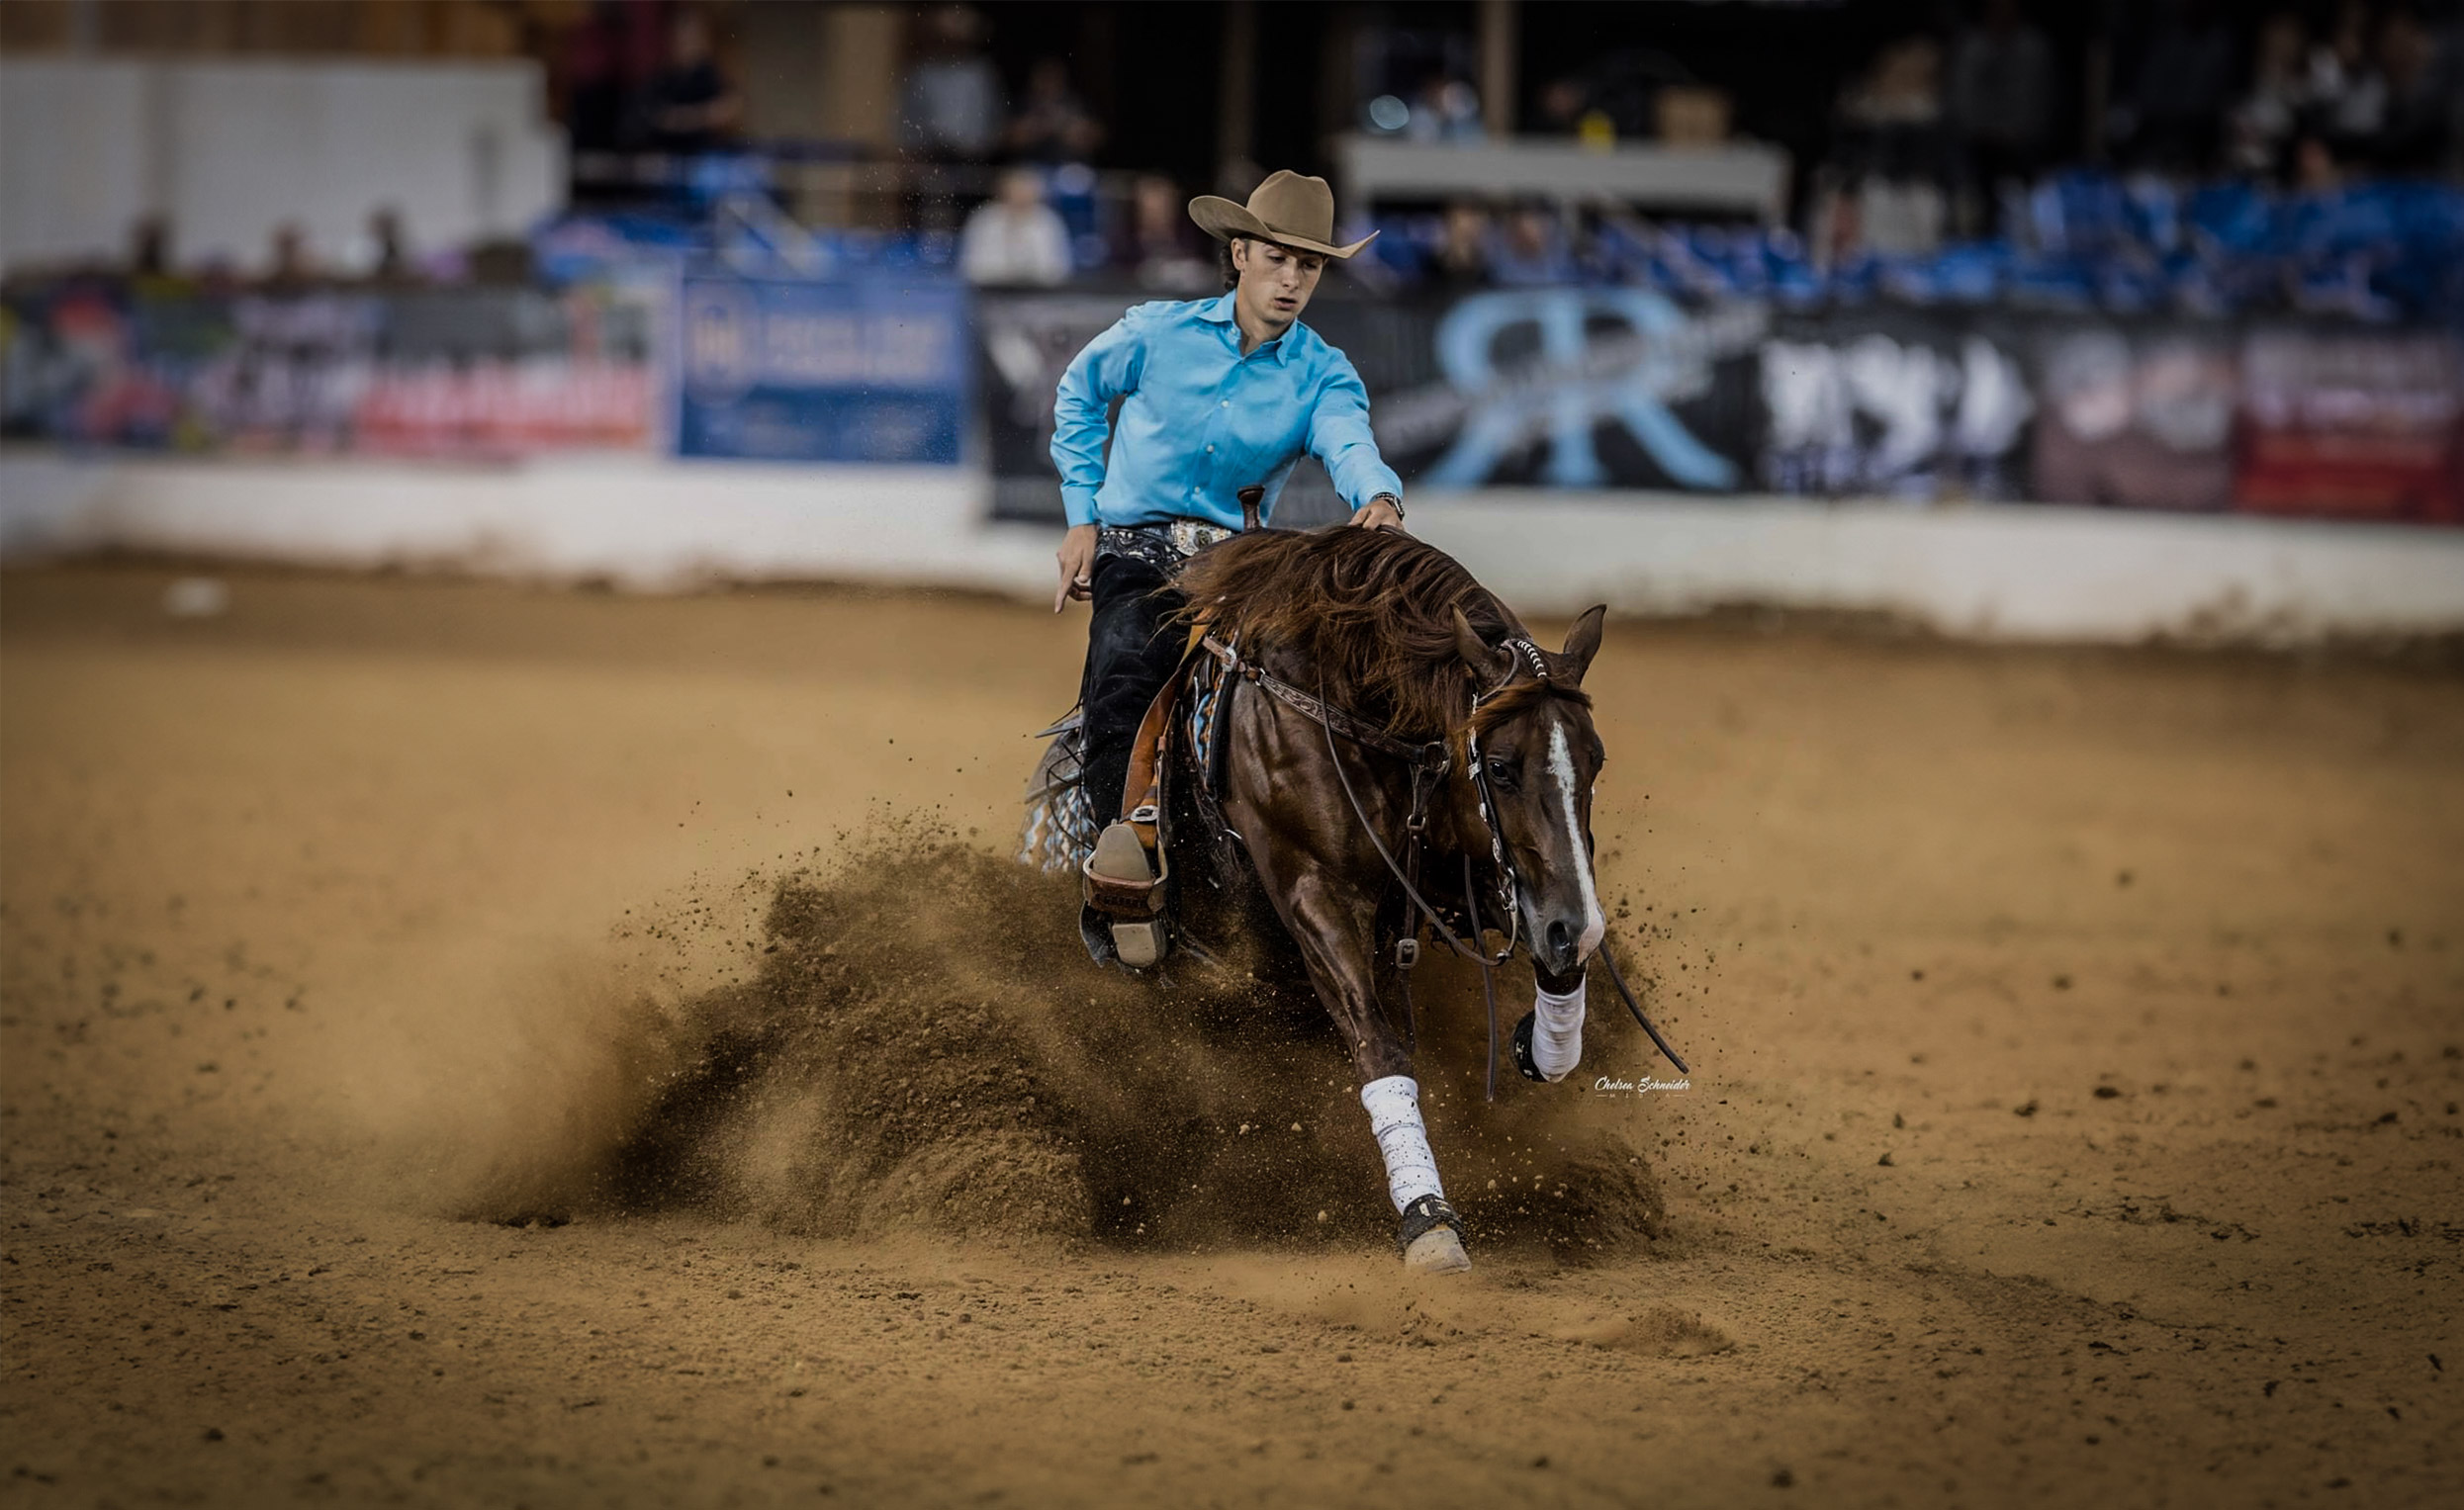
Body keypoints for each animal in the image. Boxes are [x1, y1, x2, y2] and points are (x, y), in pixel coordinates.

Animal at [1023, 526, 1680, 1272]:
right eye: (1502, 766)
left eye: (1595, 760)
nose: (1578, 926)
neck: (1356, 710)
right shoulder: (1315, 892)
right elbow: (1378, 1045)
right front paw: (1428, 1221)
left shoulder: (1476, 880)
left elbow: (1555, 967)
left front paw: (1542, 1045)